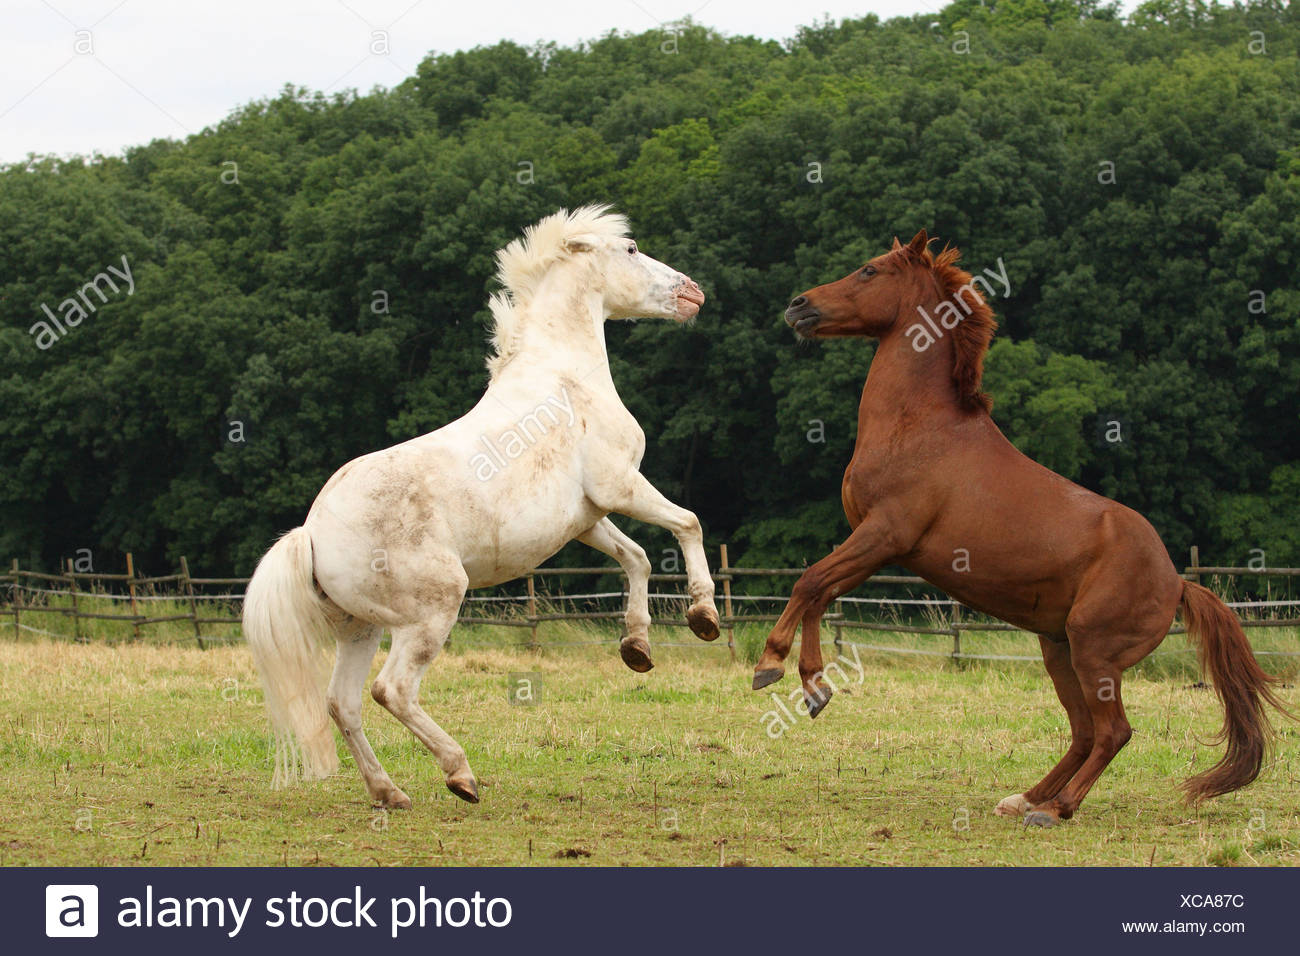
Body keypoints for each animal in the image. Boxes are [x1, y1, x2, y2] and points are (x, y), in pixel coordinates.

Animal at [243, 205, 721, 809]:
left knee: (342, 703)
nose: (694, 292)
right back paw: (460, 775)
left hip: (360, 627)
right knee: (392, 690)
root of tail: (311, 533)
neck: (566, 379)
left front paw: (636, 647)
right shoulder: (619, 486)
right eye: (632, 250)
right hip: (432, 610)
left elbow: (635, 558)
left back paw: (390, 792)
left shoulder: (584, 518)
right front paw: (703, 618)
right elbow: (689, 523)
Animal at [753, 229, 1292, 826]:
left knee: (1114, 732)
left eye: (870, 270)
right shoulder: (877, 547)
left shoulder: (885, 536)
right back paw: (1029, 797)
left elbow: (810, 582)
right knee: (1084, 733)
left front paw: (773, 666)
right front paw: (813, 686)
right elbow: (820, 591)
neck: (919, 427)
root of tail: (1177, 582)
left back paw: (1055, 810)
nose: (798, 305)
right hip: (1059, 651)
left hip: (1095, 653)